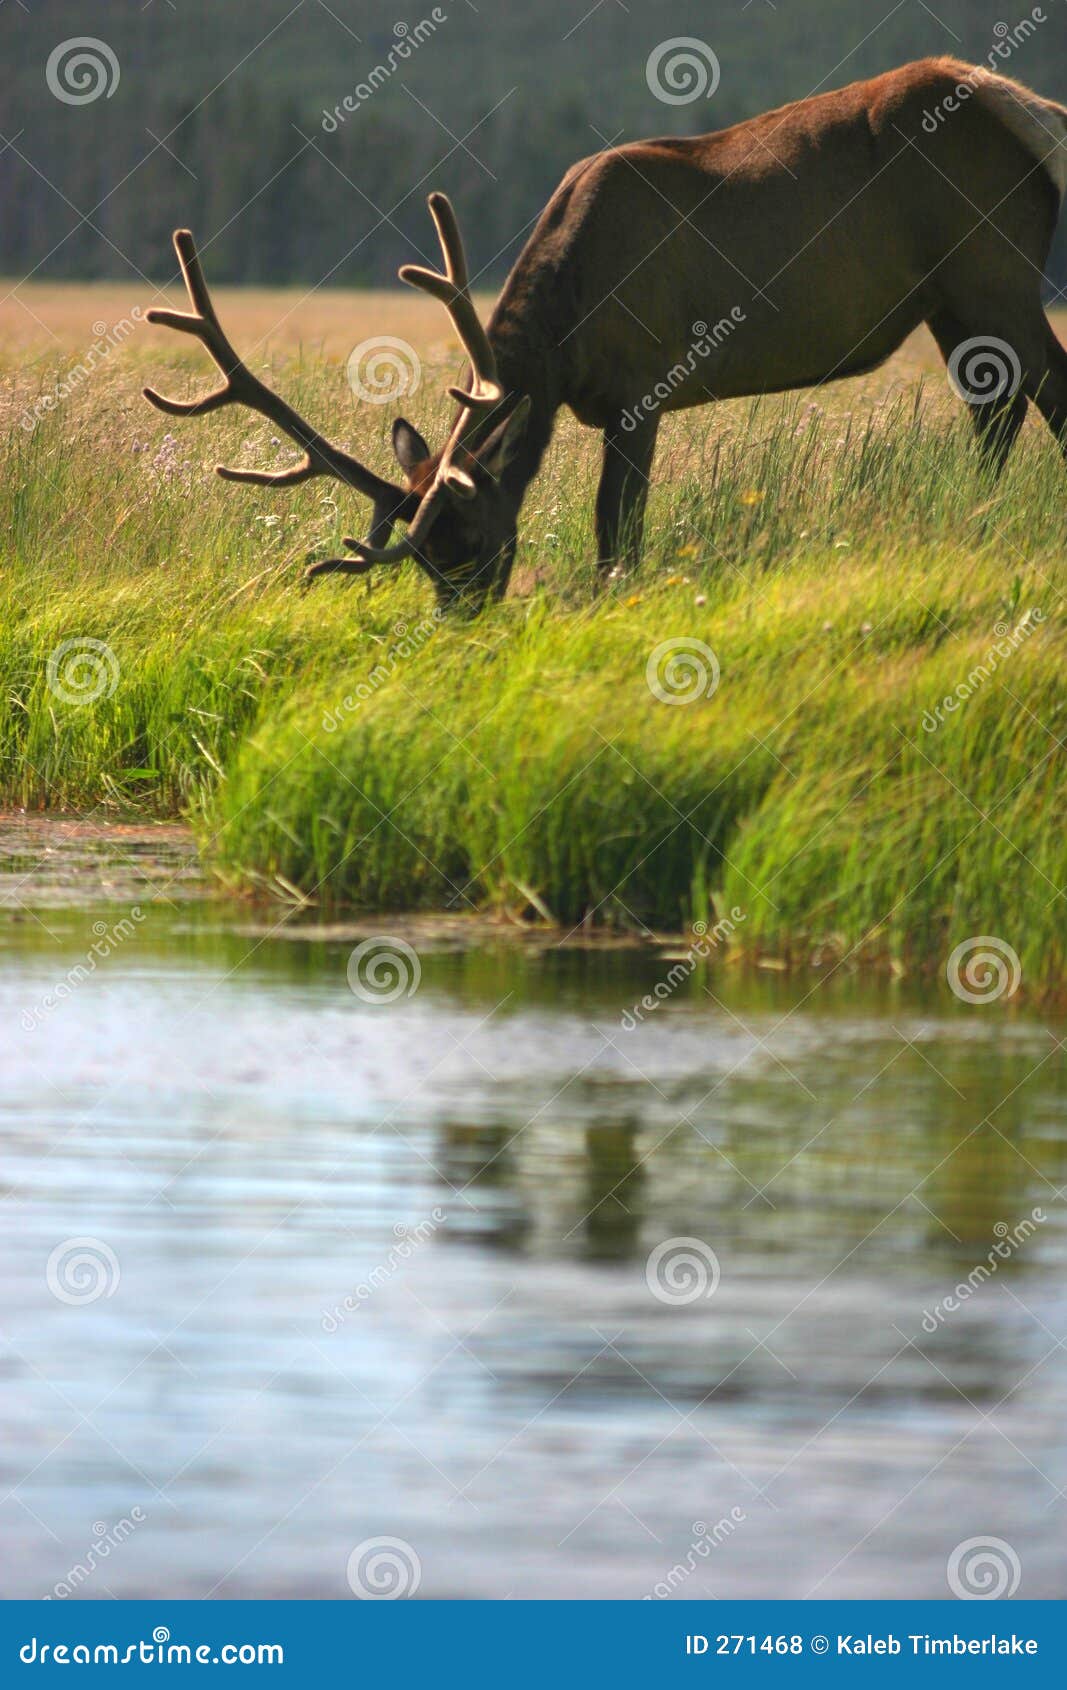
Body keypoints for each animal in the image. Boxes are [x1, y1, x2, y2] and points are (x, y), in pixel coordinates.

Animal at [145, 57, 1067, 612]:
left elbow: (614, 526)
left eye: (472, 538)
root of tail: (1025, 107)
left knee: (1047, 388)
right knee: (995, 410)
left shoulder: (640, 383)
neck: (561, 344)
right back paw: (976, 512)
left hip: (991, 271)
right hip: (950, 302)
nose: (459, 625)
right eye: (424, 558)